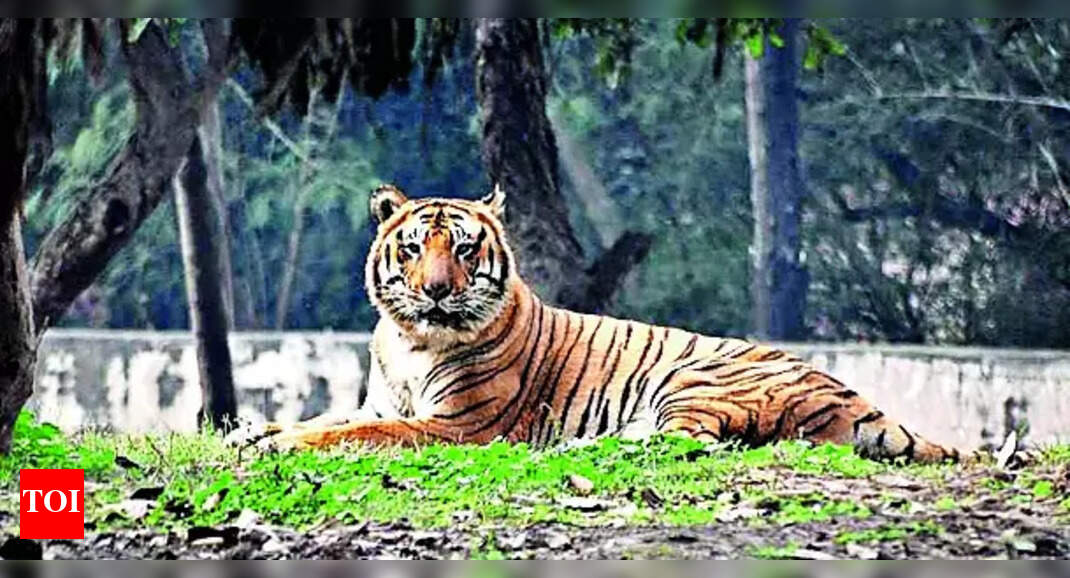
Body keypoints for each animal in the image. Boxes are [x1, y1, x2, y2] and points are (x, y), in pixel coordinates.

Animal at [249, 183, 966, 463]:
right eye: (413, 248)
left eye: (465, 249)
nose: (434, 292)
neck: (410, 341)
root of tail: (852, 393)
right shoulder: (379, 399)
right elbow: (331, 416)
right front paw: (256, 431)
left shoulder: (456, 425)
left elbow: (357, 432)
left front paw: (283, 441)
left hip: (694, 377)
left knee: (689, 443)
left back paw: (579, 446)